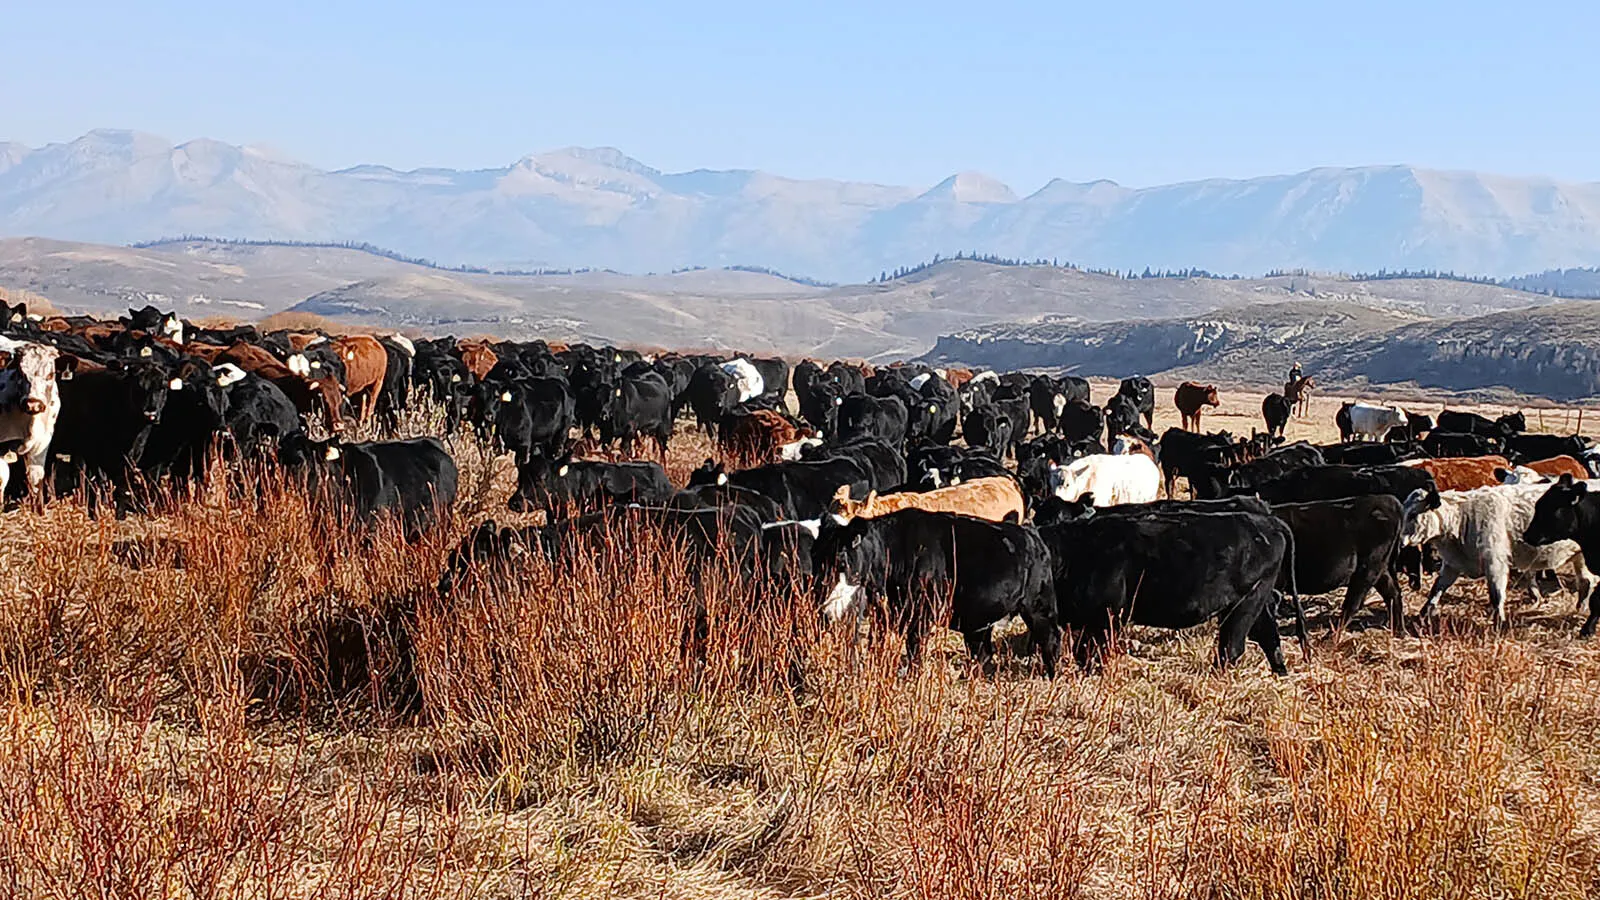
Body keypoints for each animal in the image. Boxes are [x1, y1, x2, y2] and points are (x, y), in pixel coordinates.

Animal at [812, 510, 1060, 675]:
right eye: (814, 555)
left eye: (840, 558)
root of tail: (1031, 535)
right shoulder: (884, 613)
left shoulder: (921, 613)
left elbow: (914, 649)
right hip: (979, 620)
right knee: (983, 652)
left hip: (1039, 607)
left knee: (1050, 639)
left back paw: (1050, 674)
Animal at [1038, 508, 1300, 675]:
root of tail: (1267, 521)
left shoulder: (1107, 616)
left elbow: (1091, 652)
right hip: (1253, 602)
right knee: (1268, 636)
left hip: (1245, 603)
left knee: (1232, 646)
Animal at [1404, 483, 1596, 626]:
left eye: (1413, 514)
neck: (1463, 517)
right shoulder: (1453, 564)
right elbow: (1437, 589)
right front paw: (1423, 614)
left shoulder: (1495, 562)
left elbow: (1496, 594)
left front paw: (1499, 622)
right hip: (1580, 558)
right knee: (1586, 582)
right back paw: (1580, 609)